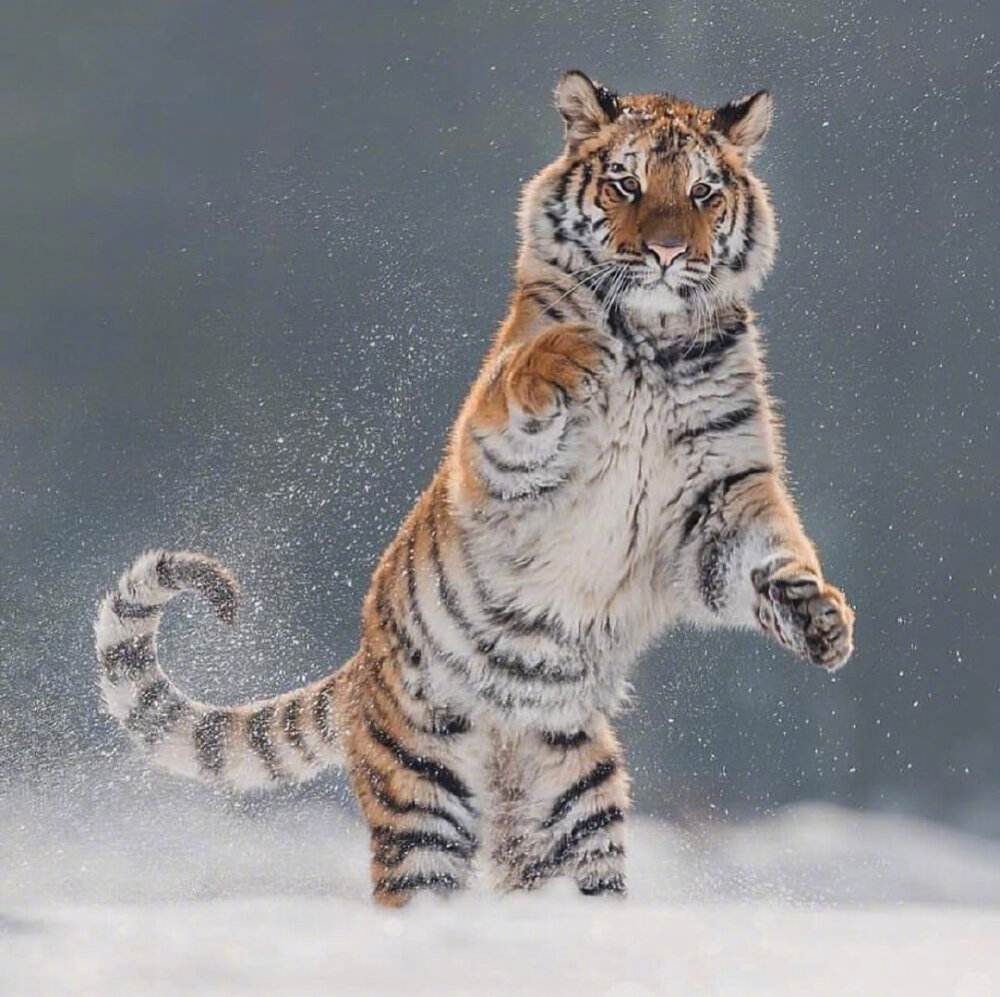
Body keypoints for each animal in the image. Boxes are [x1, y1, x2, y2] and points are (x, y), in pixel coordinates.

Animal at [95, 71, 854, 907]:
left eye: (704, 191)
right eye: (625, 182)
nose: (665, 252)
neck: (656, 341)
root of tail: (361, 666)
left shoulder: (719, 497)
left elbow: (768, 558)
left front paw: (820, 617)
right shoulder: (497, 461)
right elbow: (521, 381)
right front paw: (574, 350)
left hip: (577, 804)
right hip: (422, 789)